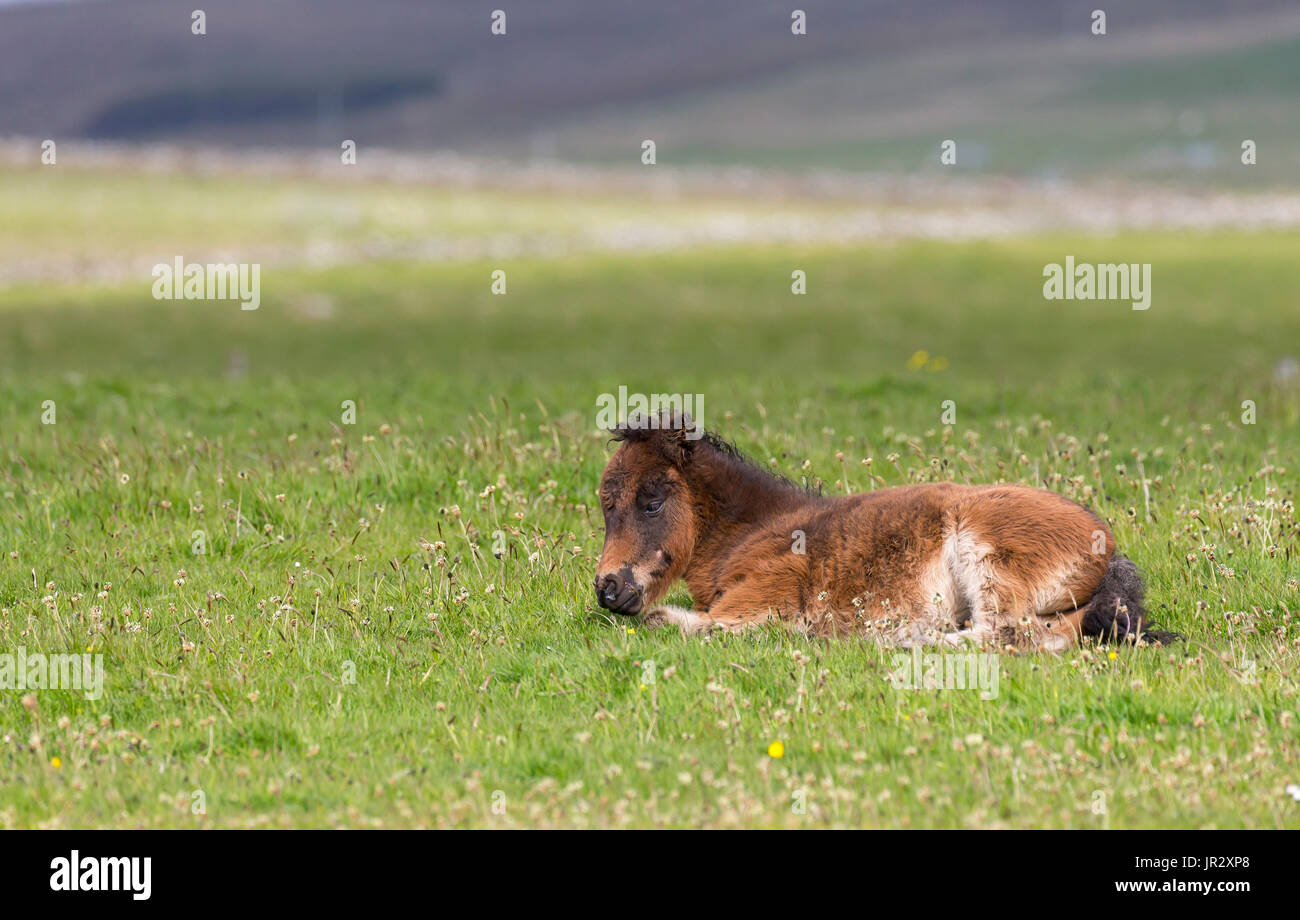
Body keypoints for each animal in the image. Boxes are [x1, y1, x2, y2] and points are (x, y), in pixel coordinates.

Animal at [593, 415, 1166, 650]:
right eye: (605, 507)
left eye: (651, 502)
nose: (607, 589)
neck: (754, 529)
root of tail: (1107, 545)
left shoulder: (765, 599)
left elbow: (692, 623)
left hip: (984, 553)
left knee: (1009, 633)